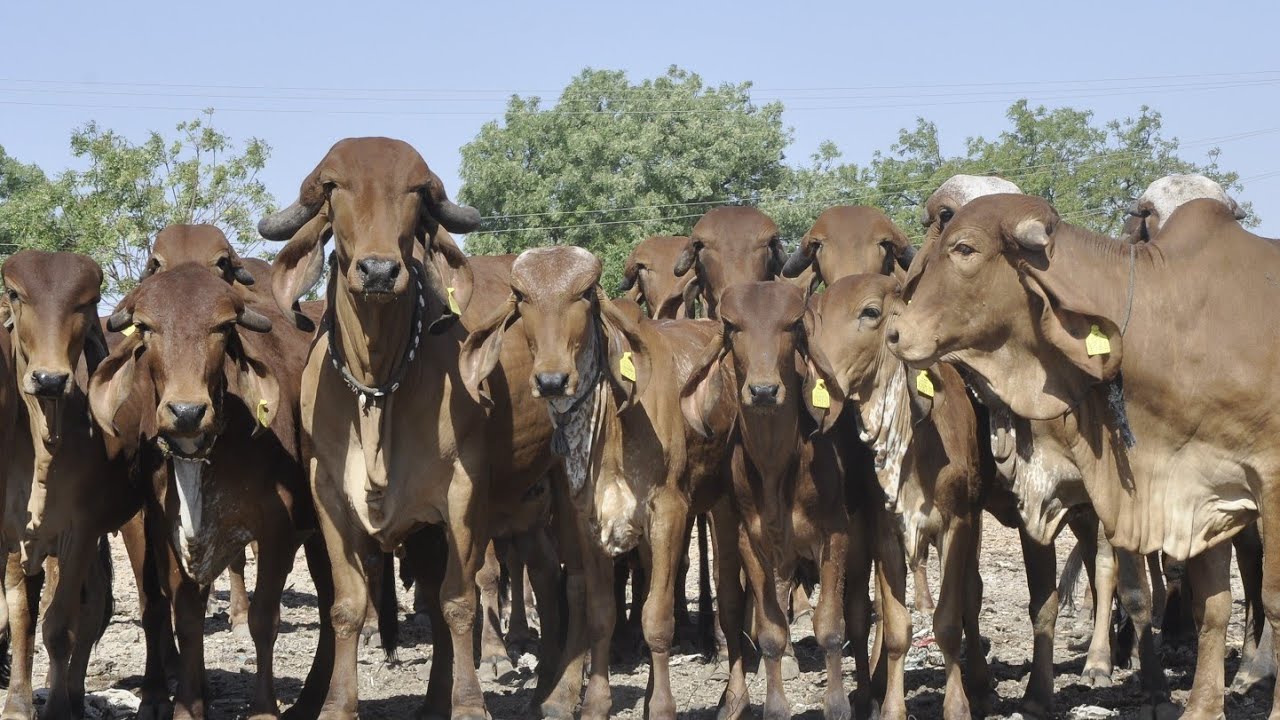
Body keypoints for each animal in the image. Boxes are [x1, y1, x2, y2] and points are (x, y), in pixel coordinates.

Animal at [0, 250, 130, 720]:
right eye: (15, 293)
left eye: (87, 301)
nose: (50, 380)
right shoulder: (12, 534)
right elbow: (21, 616)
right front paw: (18, 704)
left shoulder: (81, 530)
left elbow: (58, 625)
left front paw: (56, 707)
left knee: (90, 613)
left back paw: (72, 695)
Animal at [259, 137, 581, 720]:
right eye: (334, 187)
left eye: (414, 192)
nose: (379, 271)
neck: (379, 385)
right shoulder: (330, 498)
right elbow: (346, 606)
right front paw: (338, 705)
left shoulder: (462, 497)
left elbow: (458, 602)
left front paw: (469, 705)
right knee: (546, 574)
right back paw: (538, 685)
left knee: (579, 582)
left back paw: (562, 689)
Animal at [460, 245, 740, 719]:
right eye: (522, 296)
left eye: (584, 294)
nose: (551, 380)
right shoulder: (589, 521)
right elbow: (601, 614)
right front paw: (595, 702)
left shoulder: (670, 512)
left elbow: (657, 619)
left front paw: (661, 708)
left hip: (722, 506)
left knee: (733, 589)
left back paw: (734, 695)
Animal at [680, 280, 859, 720]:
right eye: (732, 325)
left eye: (792, 324)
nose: (763, 390)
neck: (778, 466)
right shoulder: (752, 541)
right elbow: (771, 631)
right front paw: (776, 706)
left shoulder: (835, 534)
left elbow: (831, 627)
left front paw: (837, 704)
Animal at [888, 191, 1280, 720]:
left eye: (965, 248)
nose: (895, 333)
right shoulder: (1201, 490)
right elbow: (1213, 605)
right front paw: (1201, 707)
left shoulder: (1265, 483)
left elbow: (1270, 599)